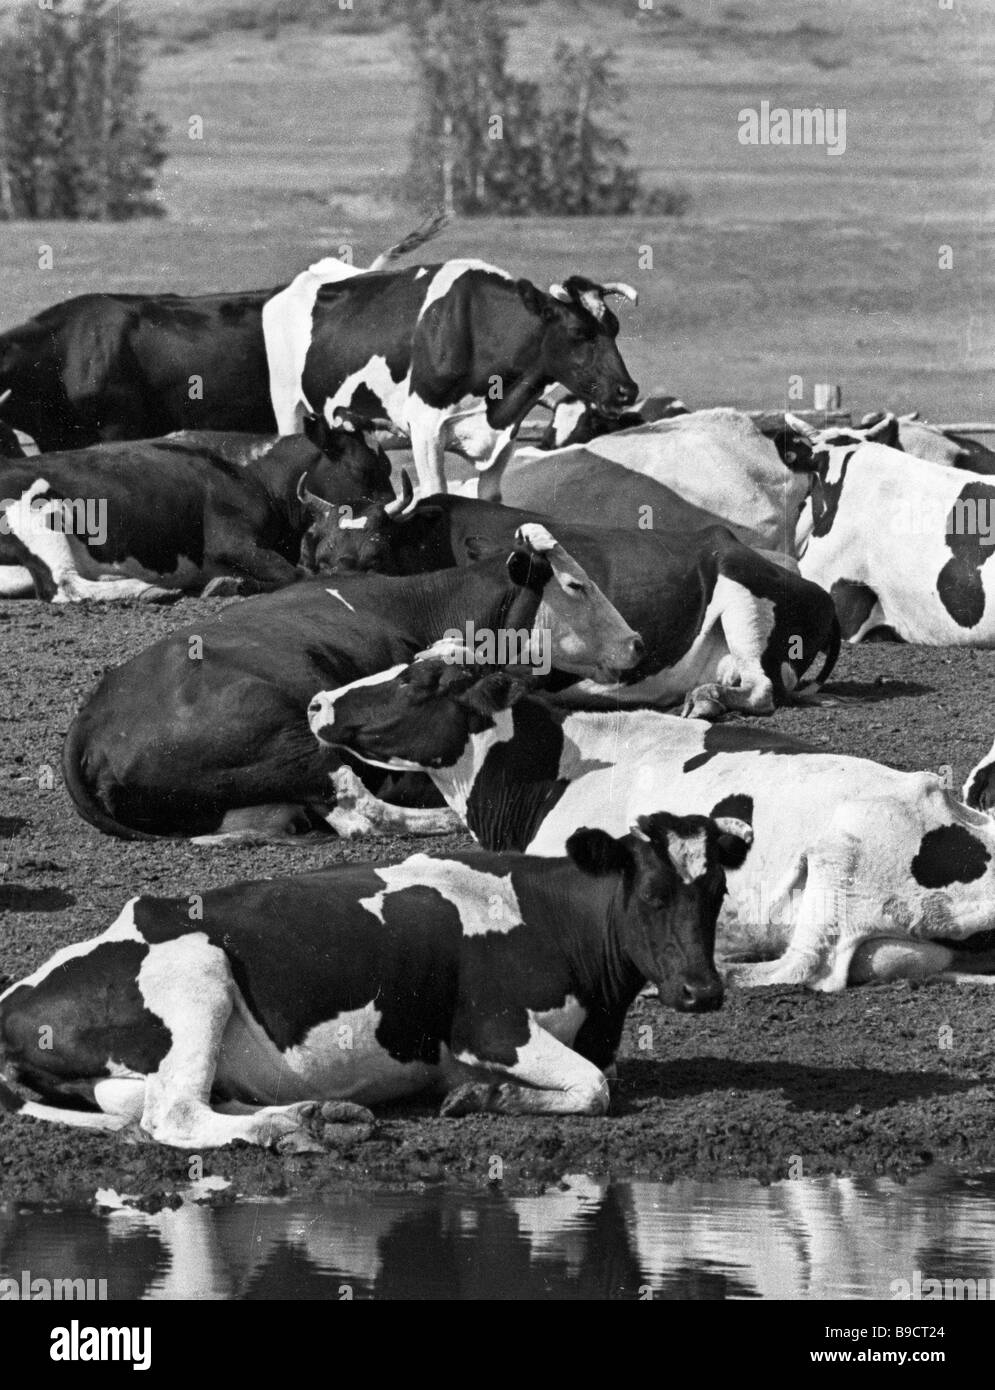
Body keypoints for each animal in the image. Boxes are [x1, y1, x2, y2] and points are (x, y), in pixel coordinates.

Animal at [0, 412, 396, 602]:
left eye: (389, 466)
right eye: (363, 470)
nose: (393, 516)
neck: (250, 471)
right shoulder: (233, 542)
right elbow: (294, 574)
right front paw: (230, 584)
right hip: (37, 517)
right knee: (63, 585)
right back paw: (150, 589)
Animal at [0, 812, 744, 1144]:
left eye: (716, 891)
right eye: (652, 893)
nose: (703, 992)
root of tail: (16, 998)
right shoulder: (491, 1027)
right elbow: (594, 1088)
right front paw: (487, 1097)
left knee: (181, 1102)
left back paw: (316, 1112)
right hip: (197, 974)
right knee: (175, 1113)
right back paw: (287, 1126)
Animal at [268, 263, 639, 497]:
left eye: (615, 328)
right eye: (578, 332)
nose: (627, 390)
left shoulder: (507, 434)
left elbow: (490, 497)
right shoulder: (425, 428)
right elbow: (436, 493)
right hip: (287, 404)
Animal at [309, 647, 995, 992]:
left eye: (421, 680)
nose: (317, 703)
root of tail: (946, 801)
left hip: (840, 854)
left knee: (807, 968)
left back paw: (727, 967)